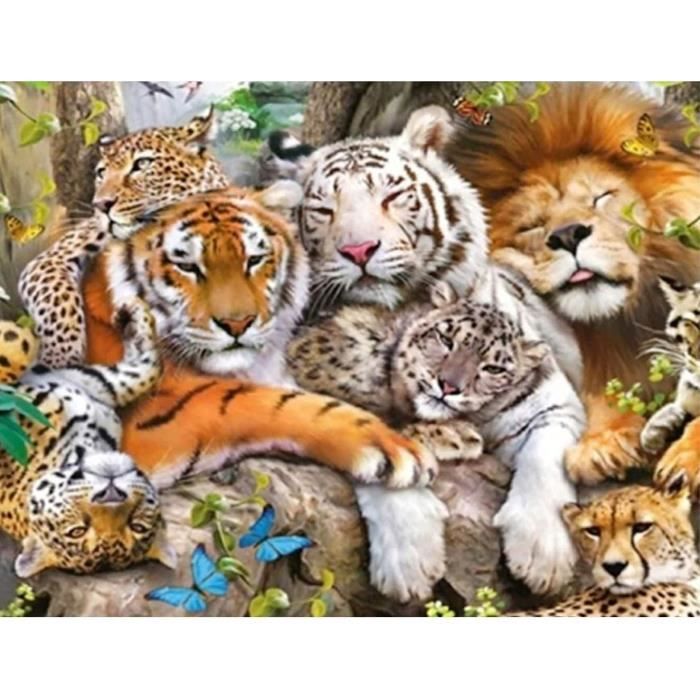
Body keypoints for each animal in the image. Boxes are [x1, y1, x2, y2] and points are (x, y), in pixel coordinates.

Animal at [265, 105, 585, 596]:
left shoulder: (551, 400)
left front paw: (542, 553)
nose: (359, 249)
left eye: (392, 195)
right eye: (323, 210)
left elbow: (547, 458)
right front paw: (410, 559)